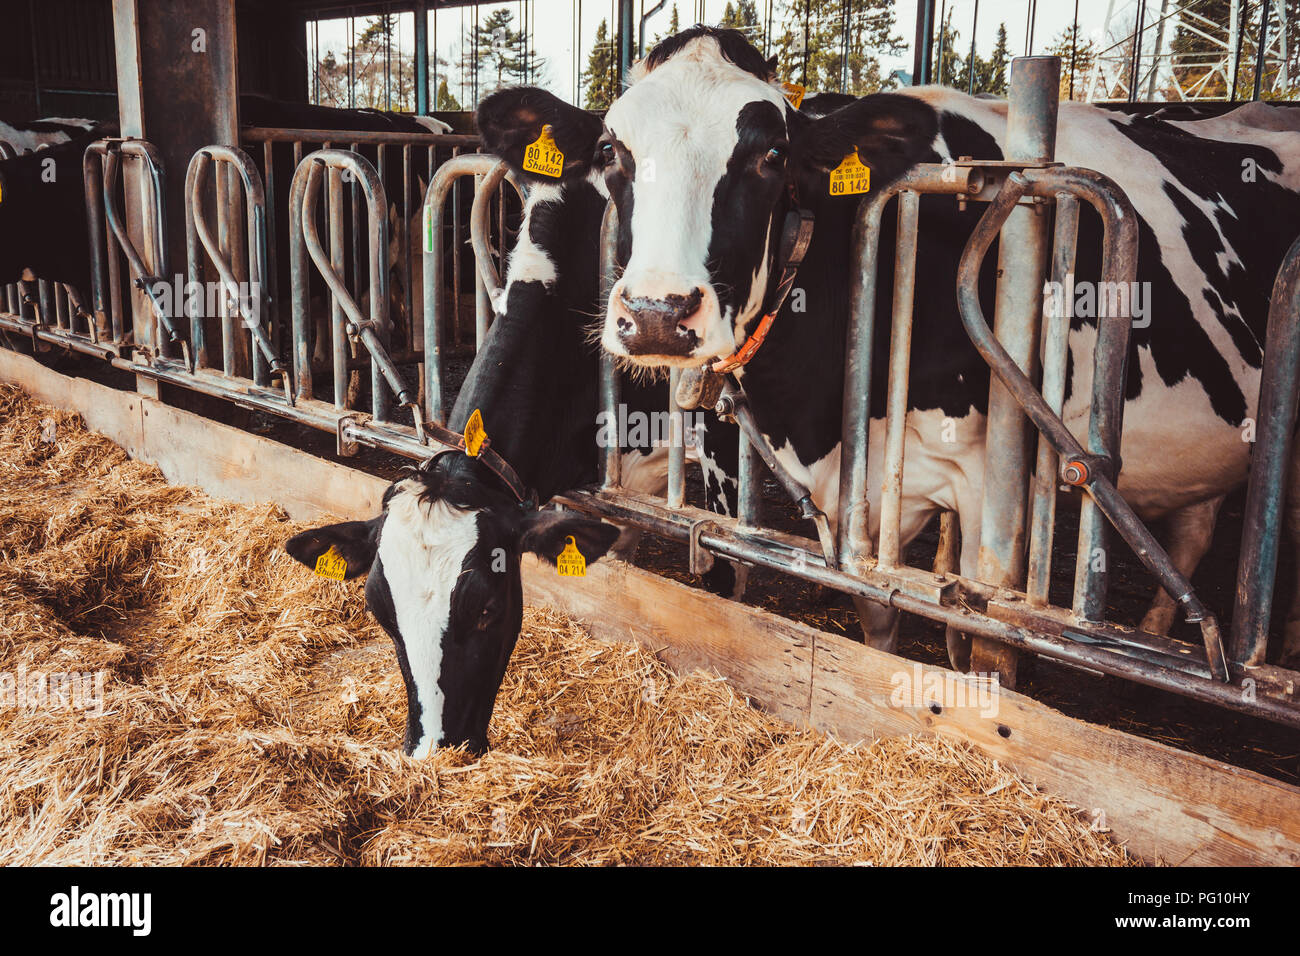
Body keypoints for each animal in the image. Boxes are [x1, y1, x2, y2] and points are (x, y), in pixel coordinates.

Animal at [467, 26, 1300, 668]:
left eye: (772, 156)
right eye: (612, 149)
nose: (655, 315)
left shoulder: (985, 485)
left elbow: (975, 639)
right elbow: (869, 619)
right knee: (1194, 528)